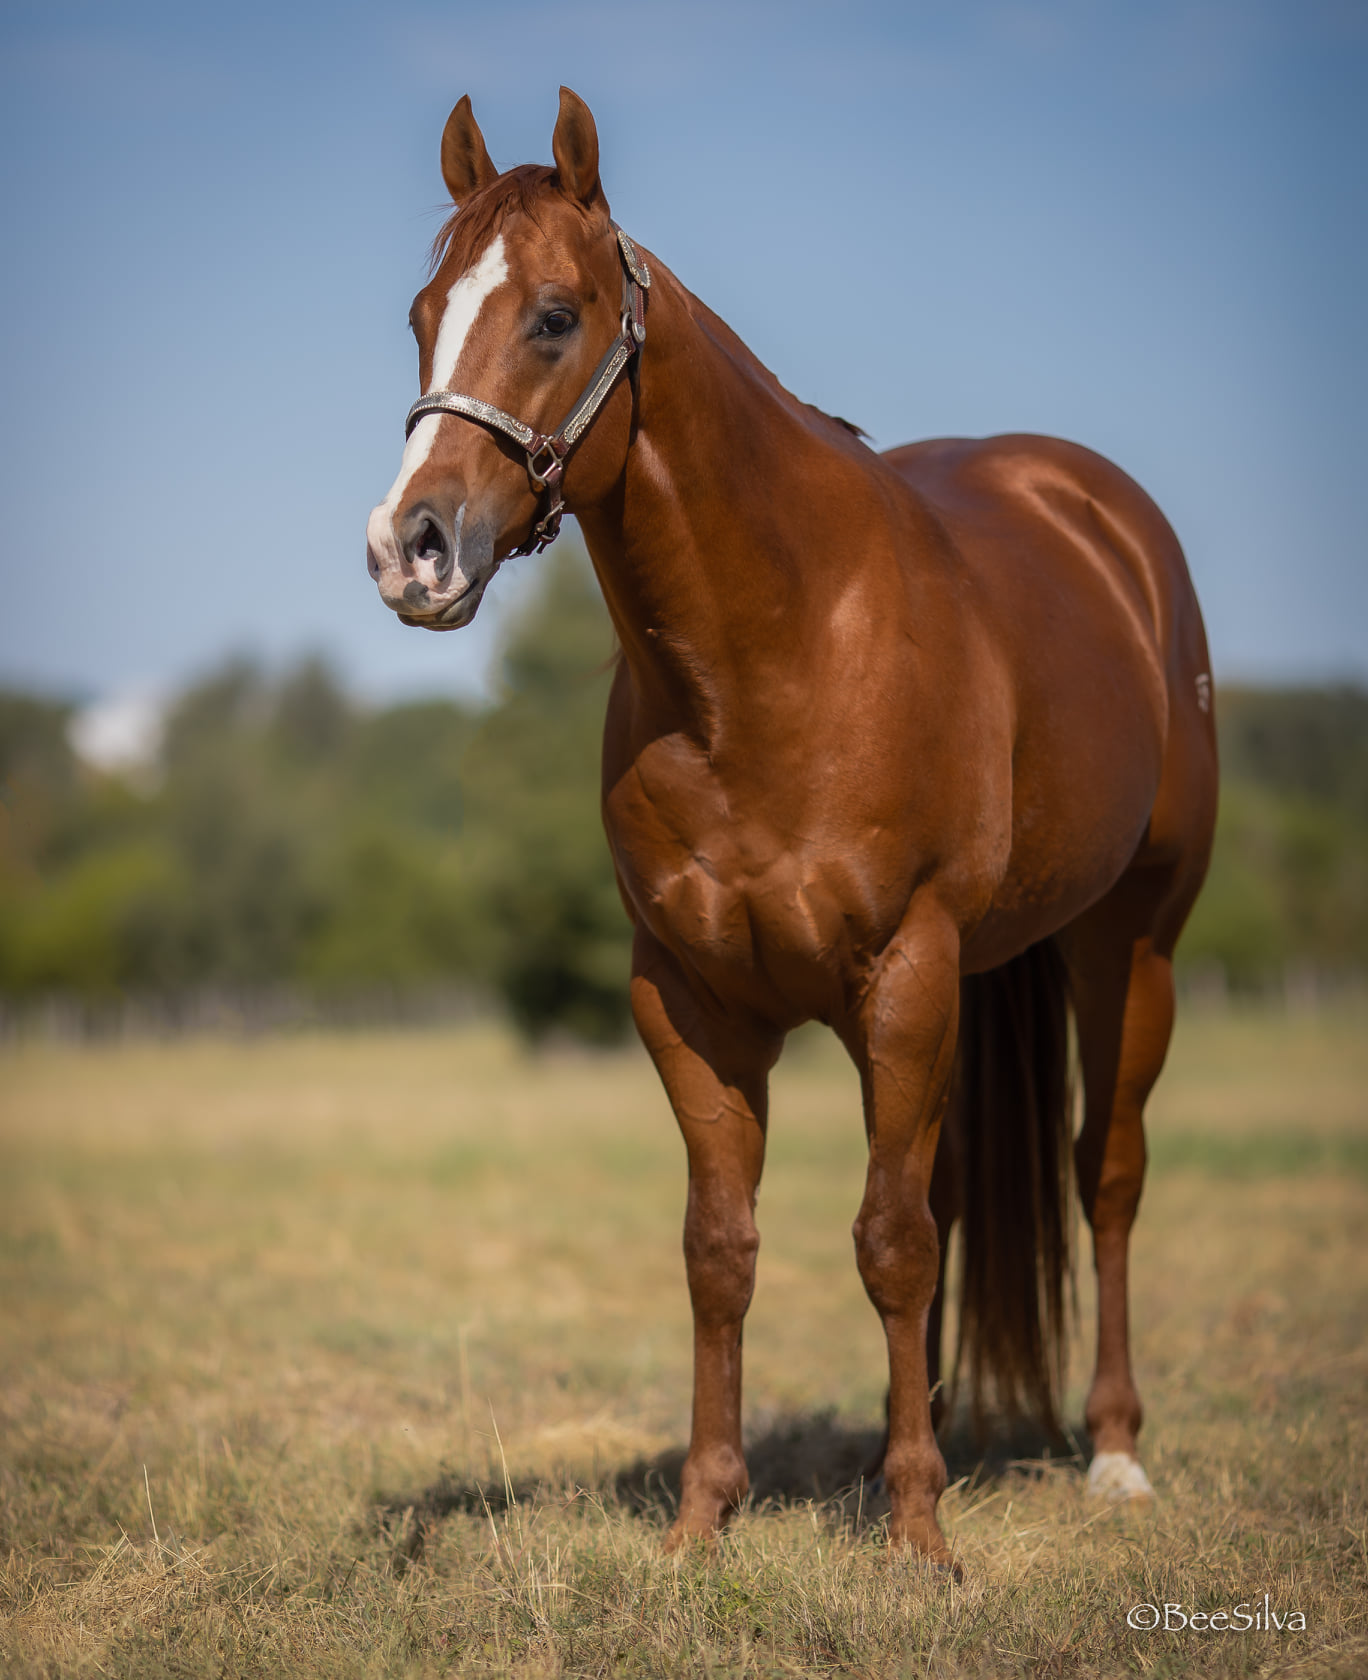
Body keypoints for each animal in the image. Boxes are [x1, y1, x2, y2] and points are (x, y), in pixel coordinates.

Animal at [365, 88, 1218, 1572]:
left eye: (552, 315)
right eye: (423, 312)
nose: (407, 550)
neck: (778, 652)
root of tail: (1105, 520)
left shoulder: (906, 972)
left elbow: (888, 1241)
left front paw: (920, 1537)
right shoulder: (691, 998)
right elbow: (725, 1247)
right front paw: (705, 1519)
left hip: (1131, 948)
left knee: (1103, 1175)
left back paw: (1112, 1454)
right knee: (952, 1195)